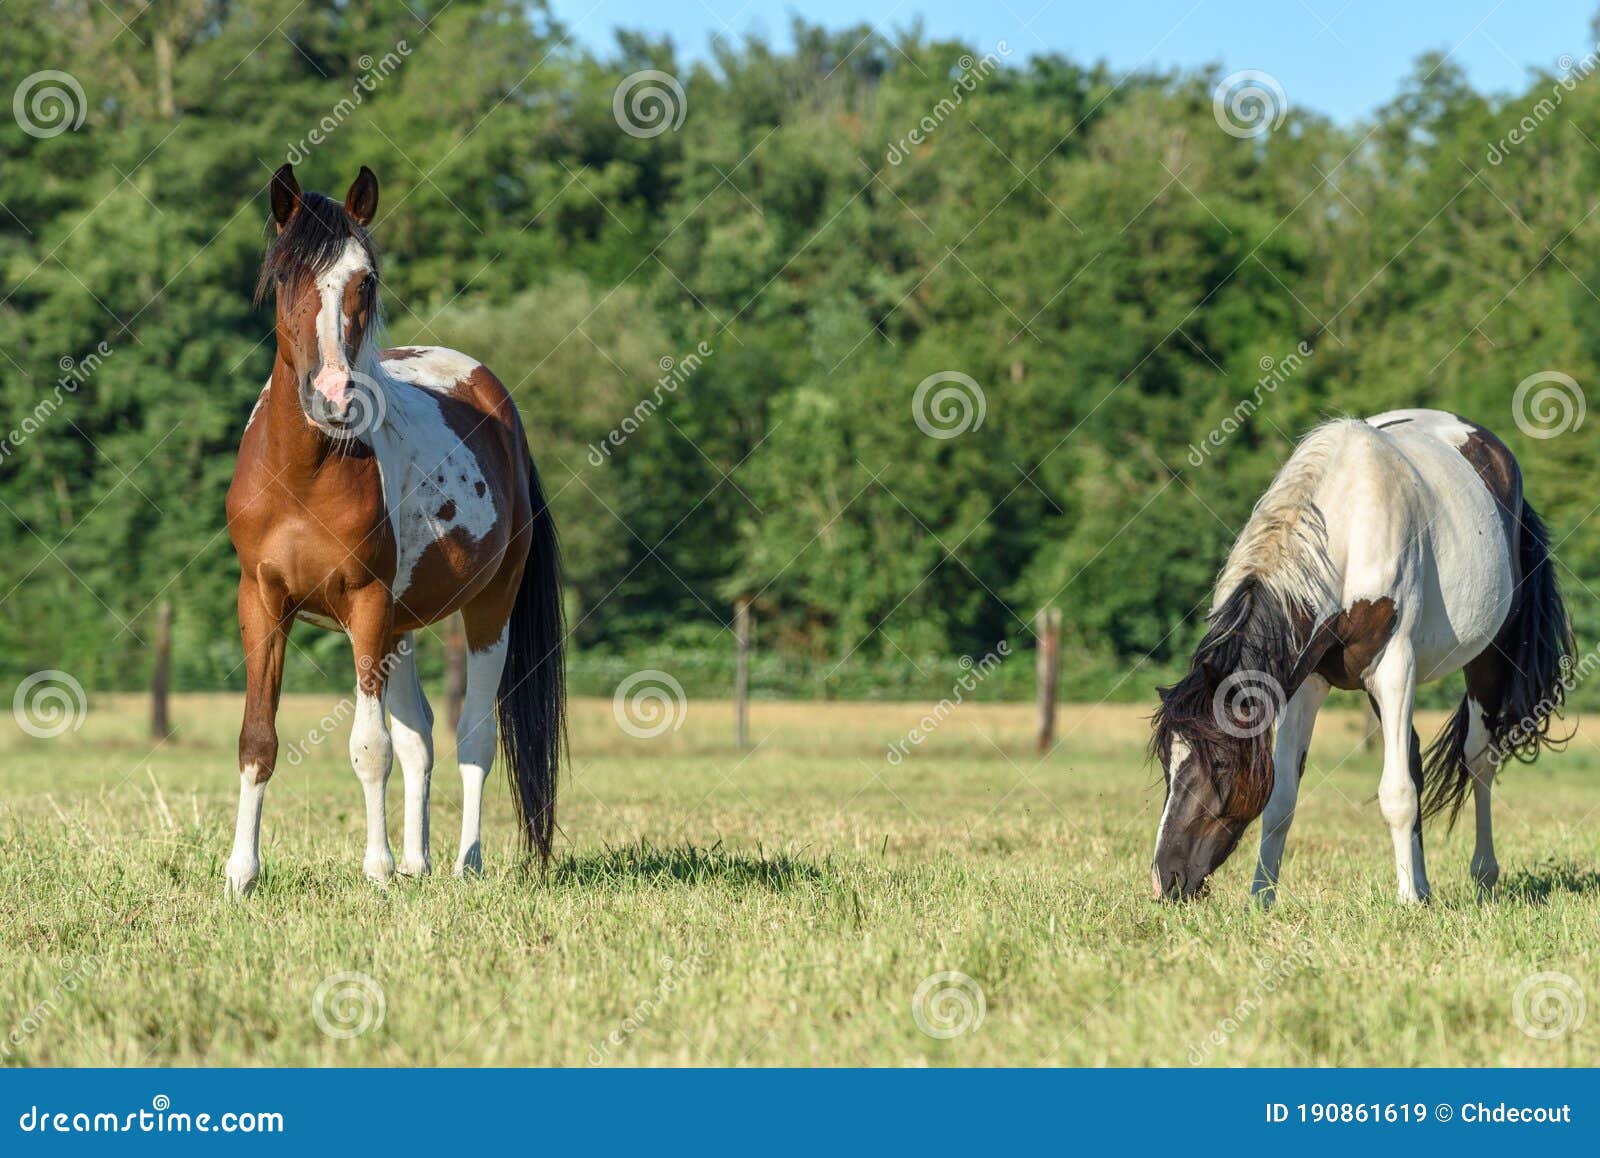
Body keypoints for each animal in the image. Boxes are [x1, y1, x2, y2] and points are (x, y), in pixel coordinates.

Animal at [222, 164, 565, 897]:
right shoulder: (261, 600)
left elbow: (369, 748)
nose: (332, 397)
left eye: (365, 280)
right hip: (400, 629)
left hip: (485, 609)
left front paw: (375, 870)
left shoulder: (367, 604)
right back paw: (418, 861)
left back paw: (464, 864)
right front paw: (241, 872)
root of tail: (499, 407)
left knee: (472, 738)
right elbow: (259, 738)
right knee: (423, 740)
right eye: (286, 275)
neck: (307, 470)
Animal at [1151, 409, 1575, 905]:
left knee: (1479, 759)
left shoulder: (1394, 669)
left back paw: (1482, 876)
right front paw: (1261, 899)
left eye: (1217, 763)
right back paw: (1424, 886)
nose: (1164, 879)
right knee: (1413, 756)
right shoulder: (1304, 682)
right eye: (1166, 762)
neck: (1348, 529)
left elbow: (1397, 793)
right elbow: (1281, 799)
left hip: (1487, 657)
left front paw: (1405, 901)